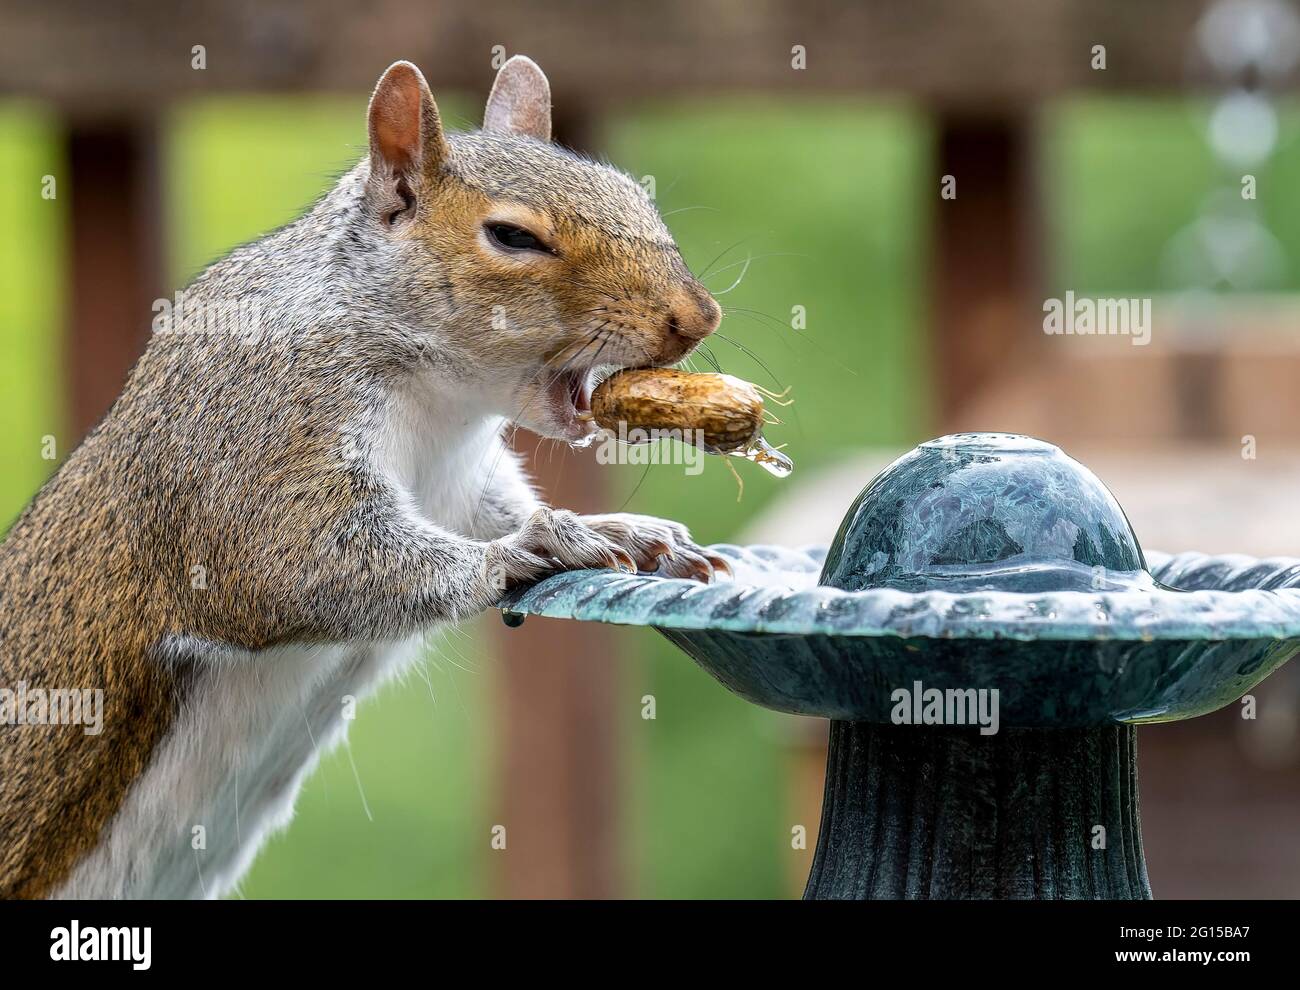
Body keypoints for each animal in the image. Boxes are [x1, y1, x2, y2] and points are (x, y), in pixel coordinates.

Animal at [0, 56, 727, 899]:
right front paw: (529, 550)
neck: (442, 405)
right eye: (513, 236)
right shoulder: (261, 427)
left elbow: (493, 508)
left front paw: (623, 531)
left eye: (636, 195)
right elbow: (291, 562)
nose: (697, 318)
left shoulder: (460, 481)